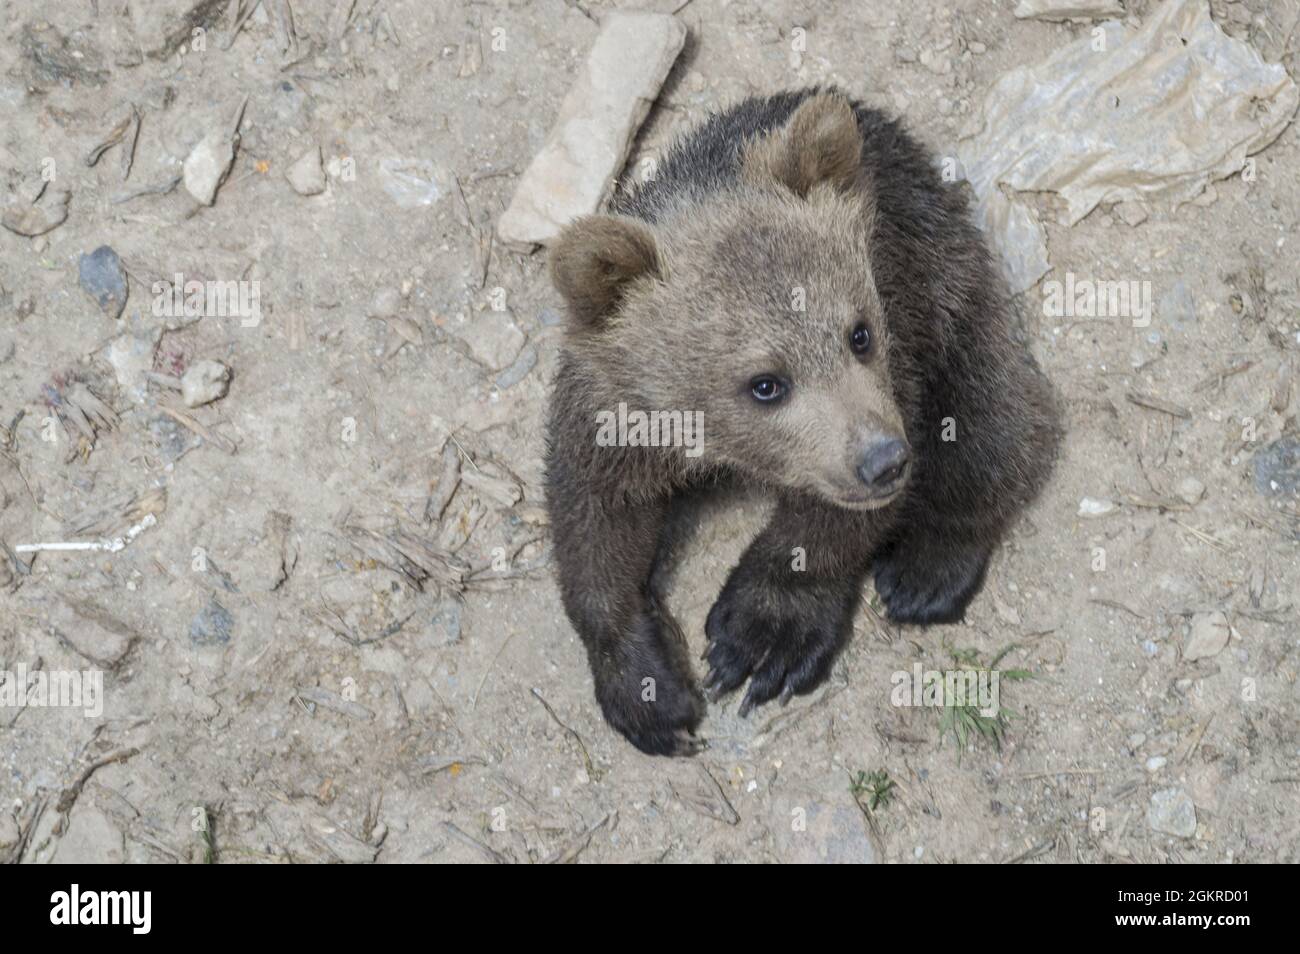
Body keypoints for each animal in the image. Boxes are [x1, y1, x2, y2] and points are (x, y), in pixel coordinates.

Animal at [543, 88, 1060, 756]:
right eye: (765, 383)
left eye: (859, 333)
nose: (883, 461)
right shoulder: (615, 408)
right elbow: (595, 518)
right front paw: (648, 693)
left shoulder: (903, 325)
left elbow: (831, 523)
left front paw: (763, 640)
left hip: (958, 295)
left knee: (990, 421)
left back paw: (924, 572)